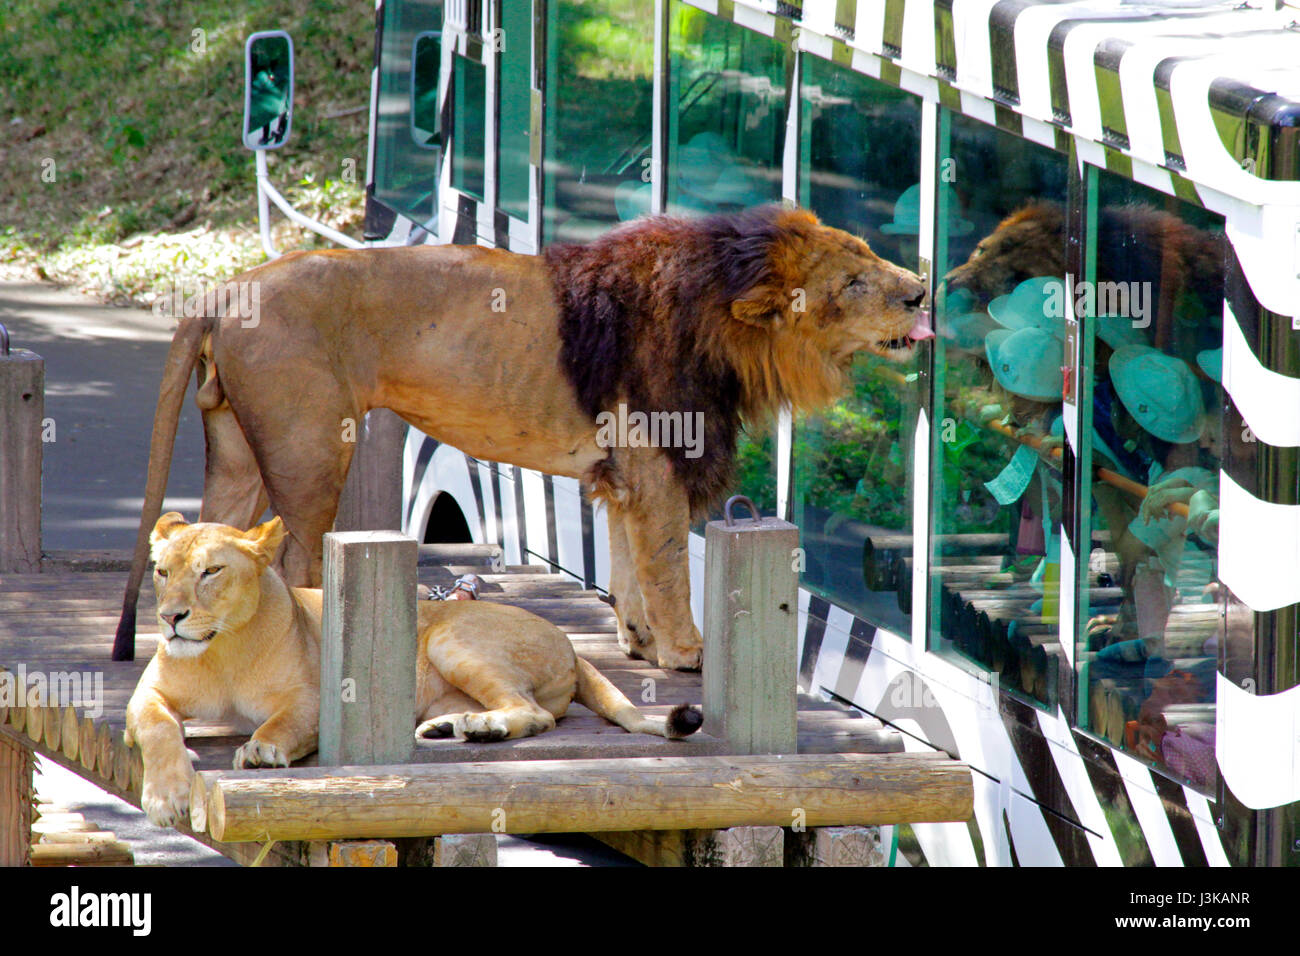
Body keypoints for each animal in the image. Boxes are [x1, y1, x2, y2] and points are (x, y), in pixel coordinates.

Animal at [115, 206, 930, 672]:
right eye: (852, 283)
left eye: (868, 255)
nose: (922, 290)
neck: (725, 322)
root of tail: (226, 290)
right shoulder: (659, 463)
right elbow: (667, 566)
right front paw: (688, 655)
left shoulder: (623, 474)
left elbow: (629, 566)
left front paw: (640, 643)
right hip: (312, 450)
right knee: (294, 559)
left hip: (239, 455)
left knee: (208, 544)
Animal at [126, 513, 702, 828]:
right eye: (162, 572)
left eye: (211, 571)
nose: (170, 618)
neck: (221, 648)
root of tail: (572, 645)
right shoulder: (146, 695)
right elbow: (157, 730)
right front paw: (165, 797)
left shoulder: (319, 697)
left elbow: (280, 723)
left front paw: (262, 751)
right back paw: (452, 727)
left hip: (452, 638)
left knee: (535, 712)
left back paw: (482, 728)